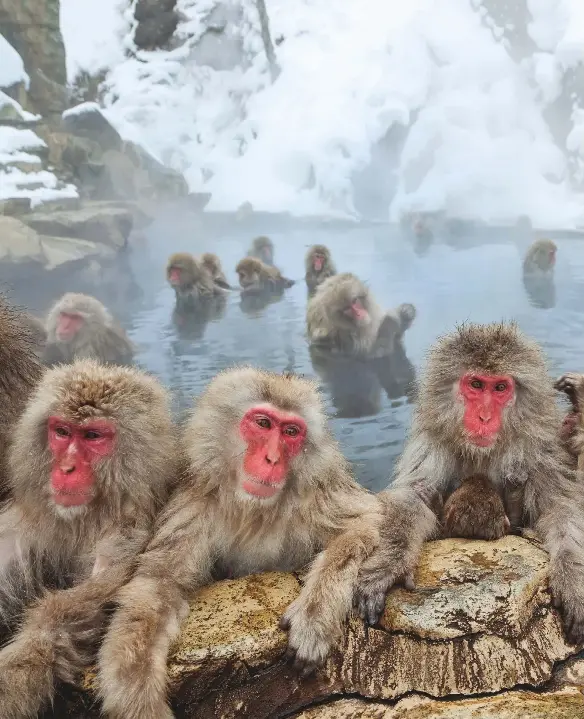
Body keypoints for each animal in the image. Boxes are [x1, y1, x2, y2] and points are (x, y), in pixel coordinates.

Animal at [0, 359, 175, 718]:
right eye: (62, 432)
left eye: (93, 436)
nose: (66, 468)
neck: (86, 517)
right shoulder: (29, 522)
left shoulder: (130, 530)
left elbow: (89, 600)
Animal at [97, 367, 383, 719]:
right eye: (262, 424)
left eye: (291, 431)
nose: (272, 459)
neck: (254, 510)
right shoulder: (194, 508)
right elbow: (157, 585)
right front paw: (137, 696)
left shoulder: (317, 495)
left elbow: (365, 523)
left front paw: (314, 616)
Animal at [354, 322, 584, 646]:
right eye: (476, 385)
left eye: (499, 388)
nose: (484, 417)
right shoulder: (433, 441)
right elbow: (413, 497)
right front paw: (388, 565)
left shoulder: (541, 448)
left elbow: (560, 507)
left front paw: (573, 577)